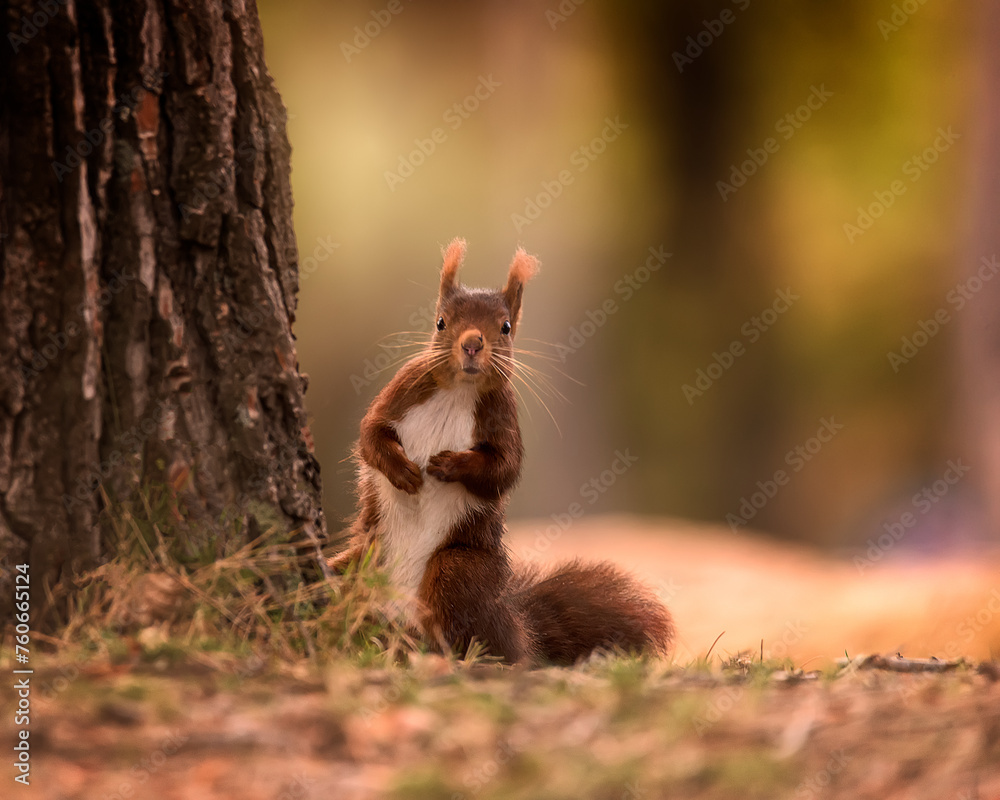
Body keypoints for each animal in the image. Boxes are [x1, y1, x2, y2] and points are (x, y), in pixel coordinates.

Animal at [329, 238, 674, 665]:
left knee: (473, 638)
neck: (459, 390)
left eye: (506, 327)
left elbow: (503, 470)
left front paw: (449, 464)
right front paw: (403, 472)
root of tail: (517, 626)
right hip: (362, 556)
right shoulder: (402, 389)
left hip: (458, 566)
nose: (472, 344)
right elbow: (370, 434)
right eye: (441, 322)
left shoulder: (503, 415)